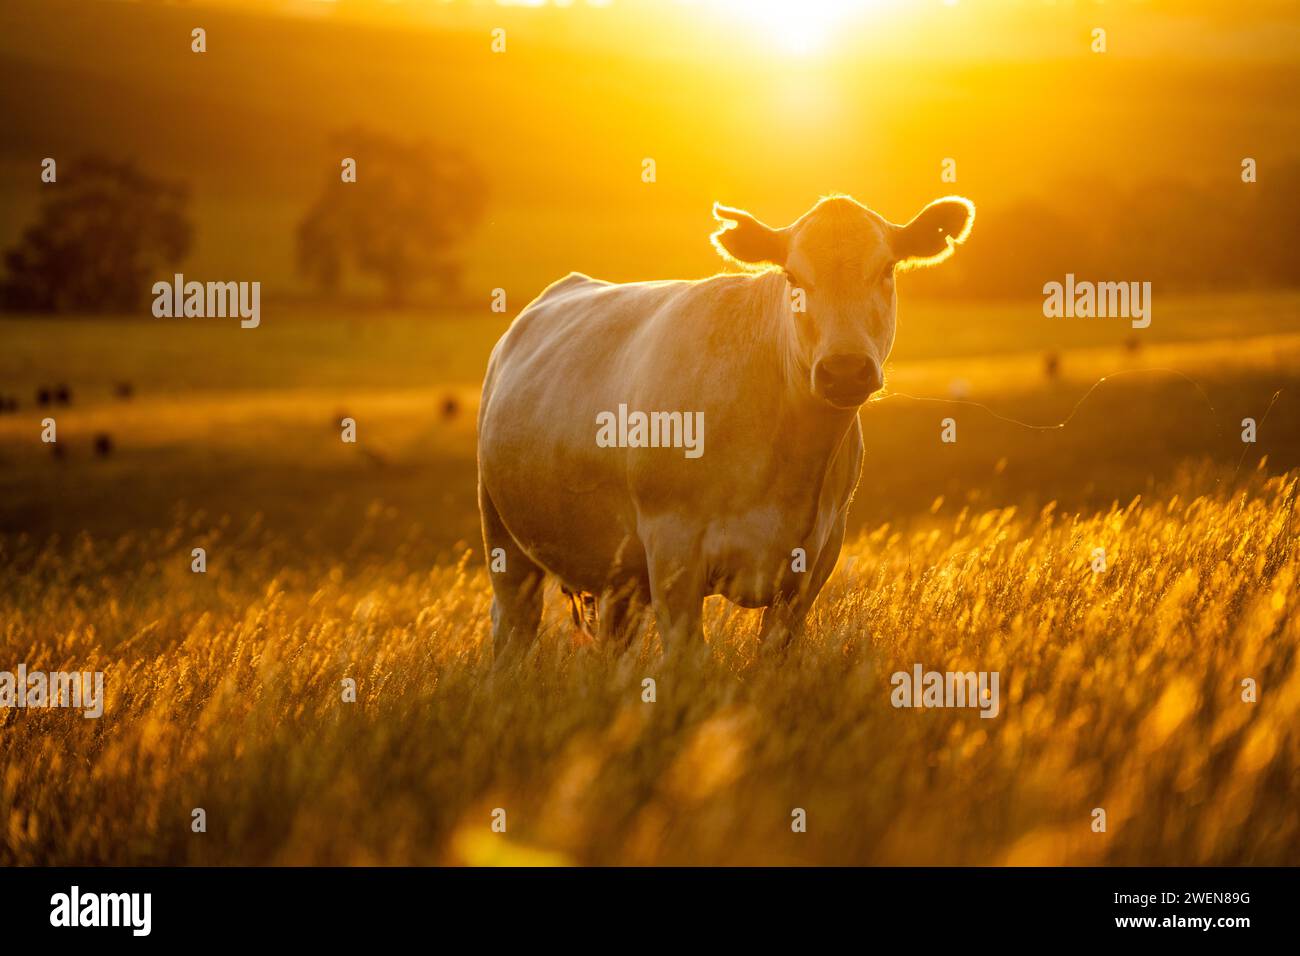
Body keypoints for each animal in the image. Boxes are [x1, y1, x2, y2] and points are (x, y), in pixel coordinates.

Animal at [477, 193, 975, 660]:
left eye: (887, 270)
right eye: (792, 278)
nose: (845, 369)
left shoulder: (814, 564)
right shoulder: (672, 552)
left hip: (617, 573)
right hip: (504, 538)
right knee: (513, 628)